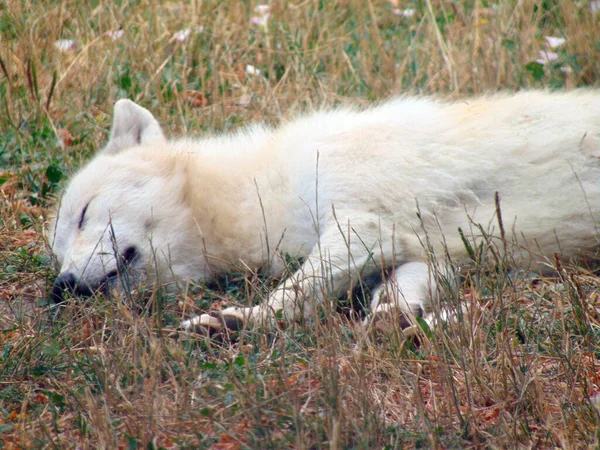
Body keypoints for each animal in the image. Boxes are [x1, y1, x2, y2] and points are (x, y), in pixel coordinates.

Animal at [49, 89, 600, 332]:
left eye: (84, 213)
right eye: (57, 252)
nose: (62, 287)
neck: (261, 186)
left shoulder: (360, 226)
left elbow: (289, 296)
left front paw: (235, 320)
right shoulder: (422, 252)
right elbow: (400, 294)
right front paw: (394, 321)